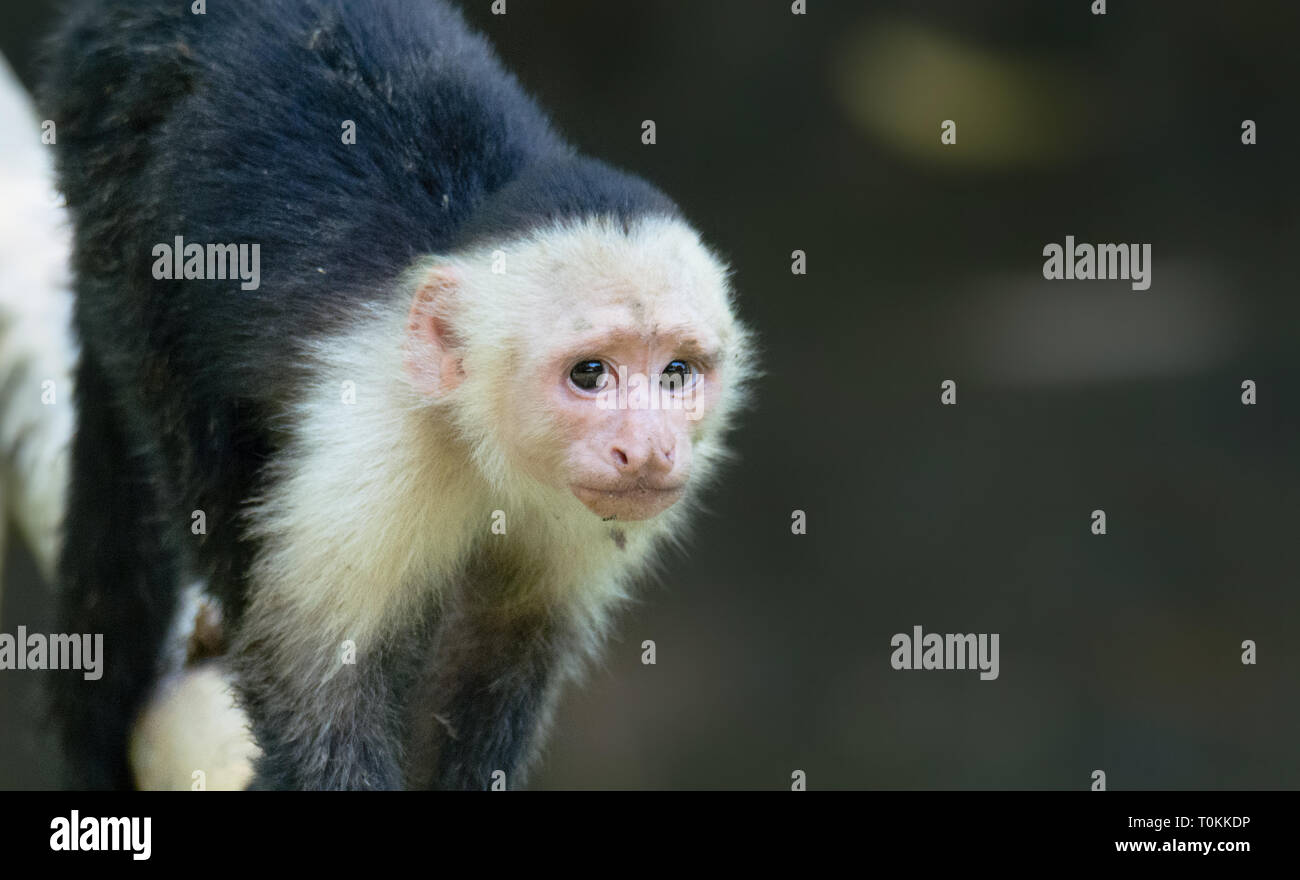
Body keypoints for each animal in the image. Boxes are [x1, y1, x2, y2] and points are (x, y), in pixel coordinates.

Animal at [39, 0, 754, 790]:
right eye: (590, 374)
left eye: (677, 374)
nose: (650, 448)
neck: (479, 442)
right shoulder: (380, 448)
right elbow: (321, 699)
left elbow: (495, 658)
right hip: (110, 151)